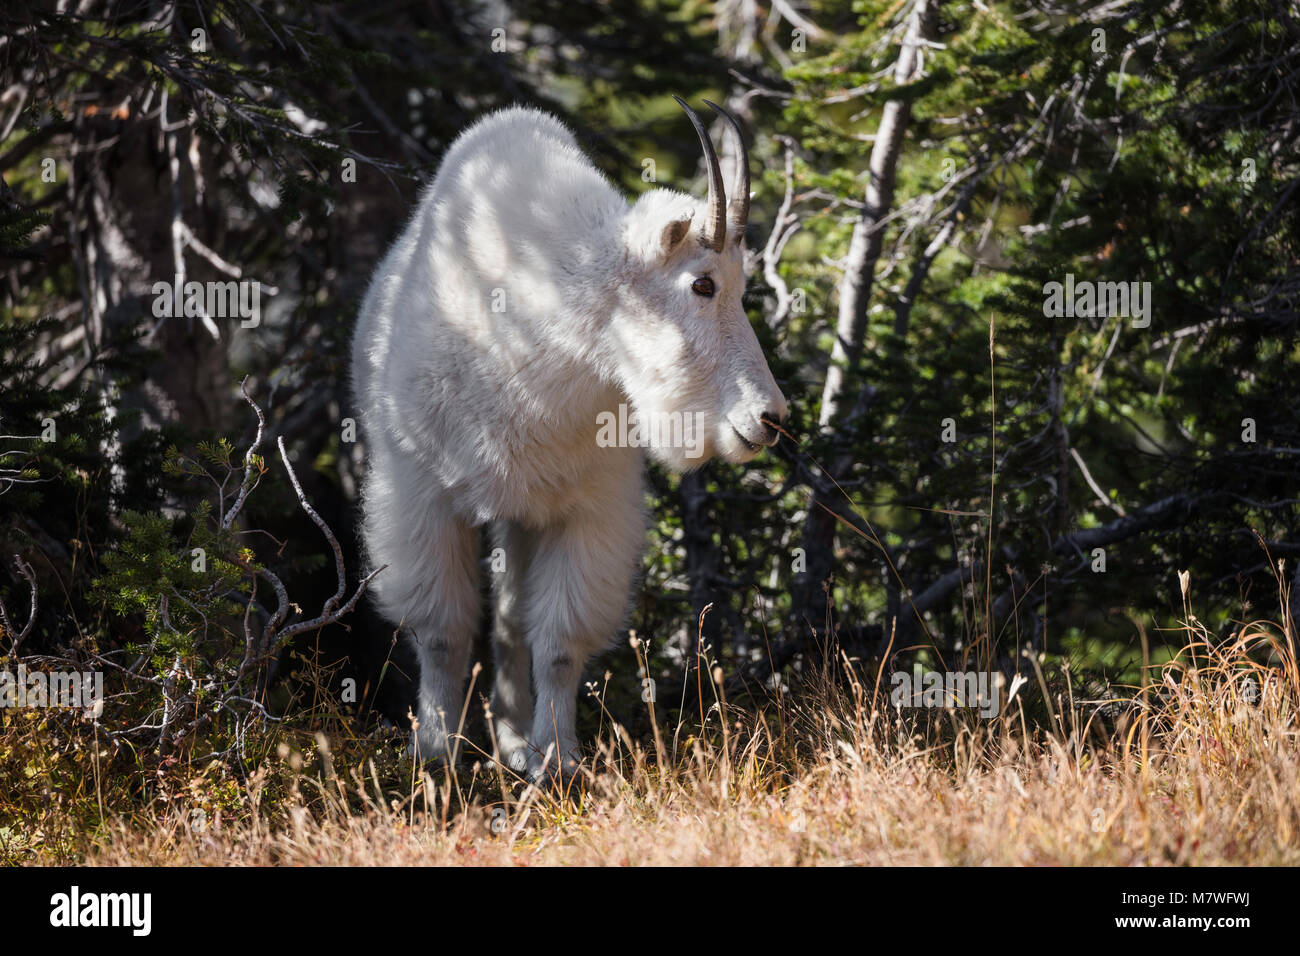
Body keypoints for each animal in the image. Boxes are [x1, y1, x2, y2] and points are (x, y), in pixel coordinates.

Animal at [350, 98, 788, 781]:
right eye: (703, 284)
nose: (768, 418)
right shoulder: (421, 493)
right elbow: (443, 634)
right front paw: (436, 757)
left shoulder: (589, 508)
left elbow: (557, 643)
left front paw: (557, 759)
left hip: (523, 515)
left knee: (511, 623)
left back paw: (513, 743)